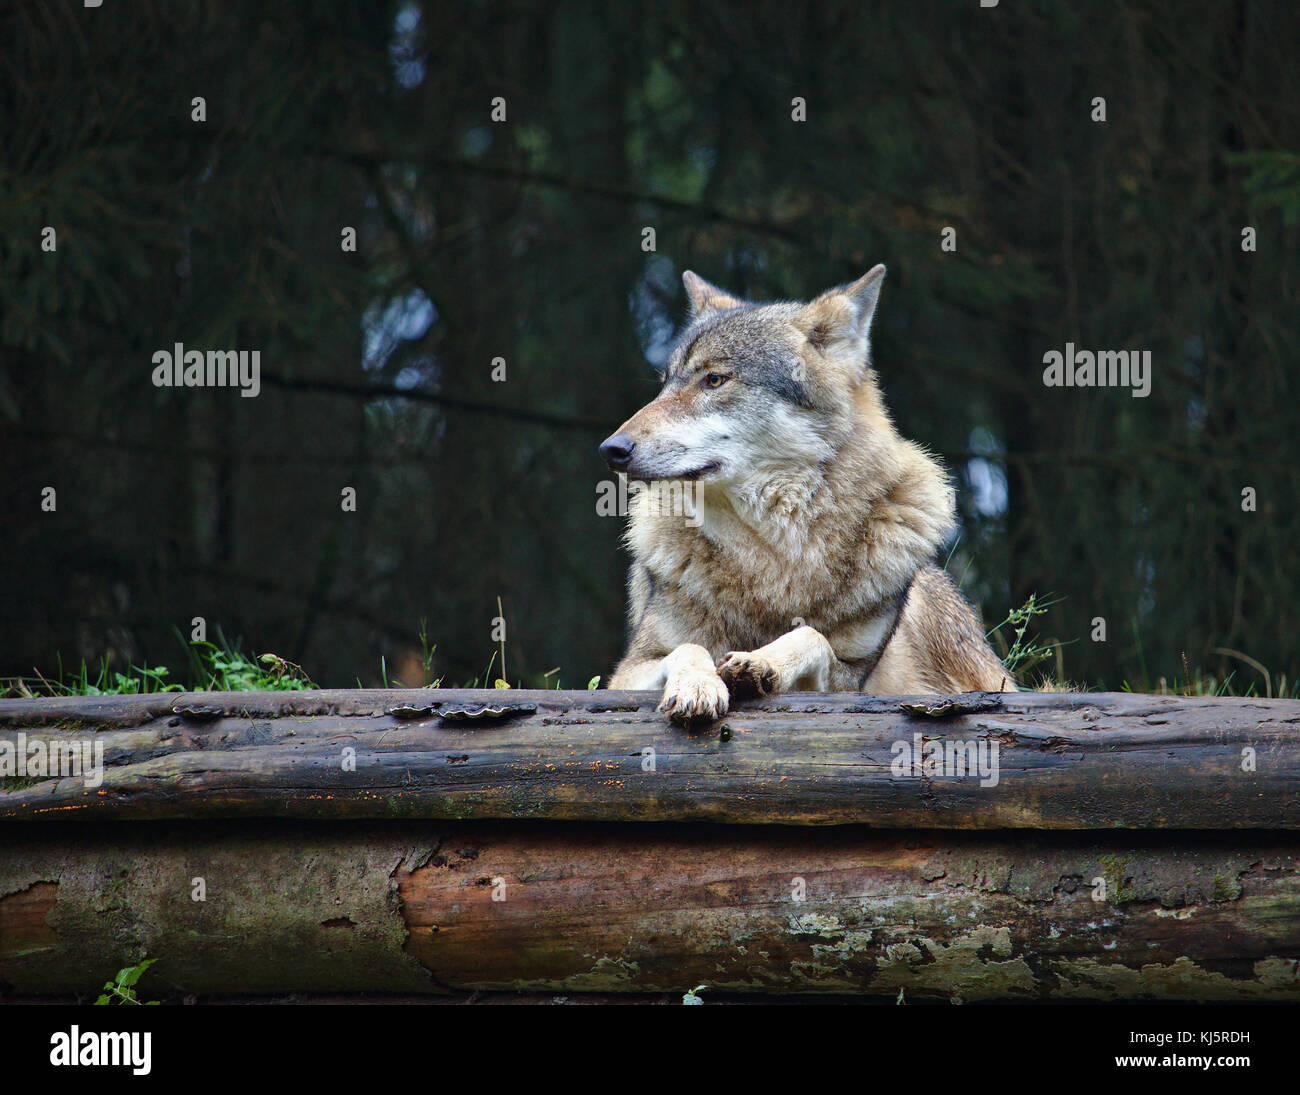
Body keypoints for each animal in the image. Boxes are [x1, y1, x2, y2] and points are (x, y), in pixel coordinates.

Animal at [599, 264, 1015, 724]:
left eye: (714, 379)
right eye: (664, 384)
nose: (611, 450)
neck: (773, 553)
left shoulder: (853, 680)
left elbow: (812, 636)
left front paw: (761, 662)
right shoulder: (628, 670)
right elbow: (689, 648)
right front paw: (697, 685)